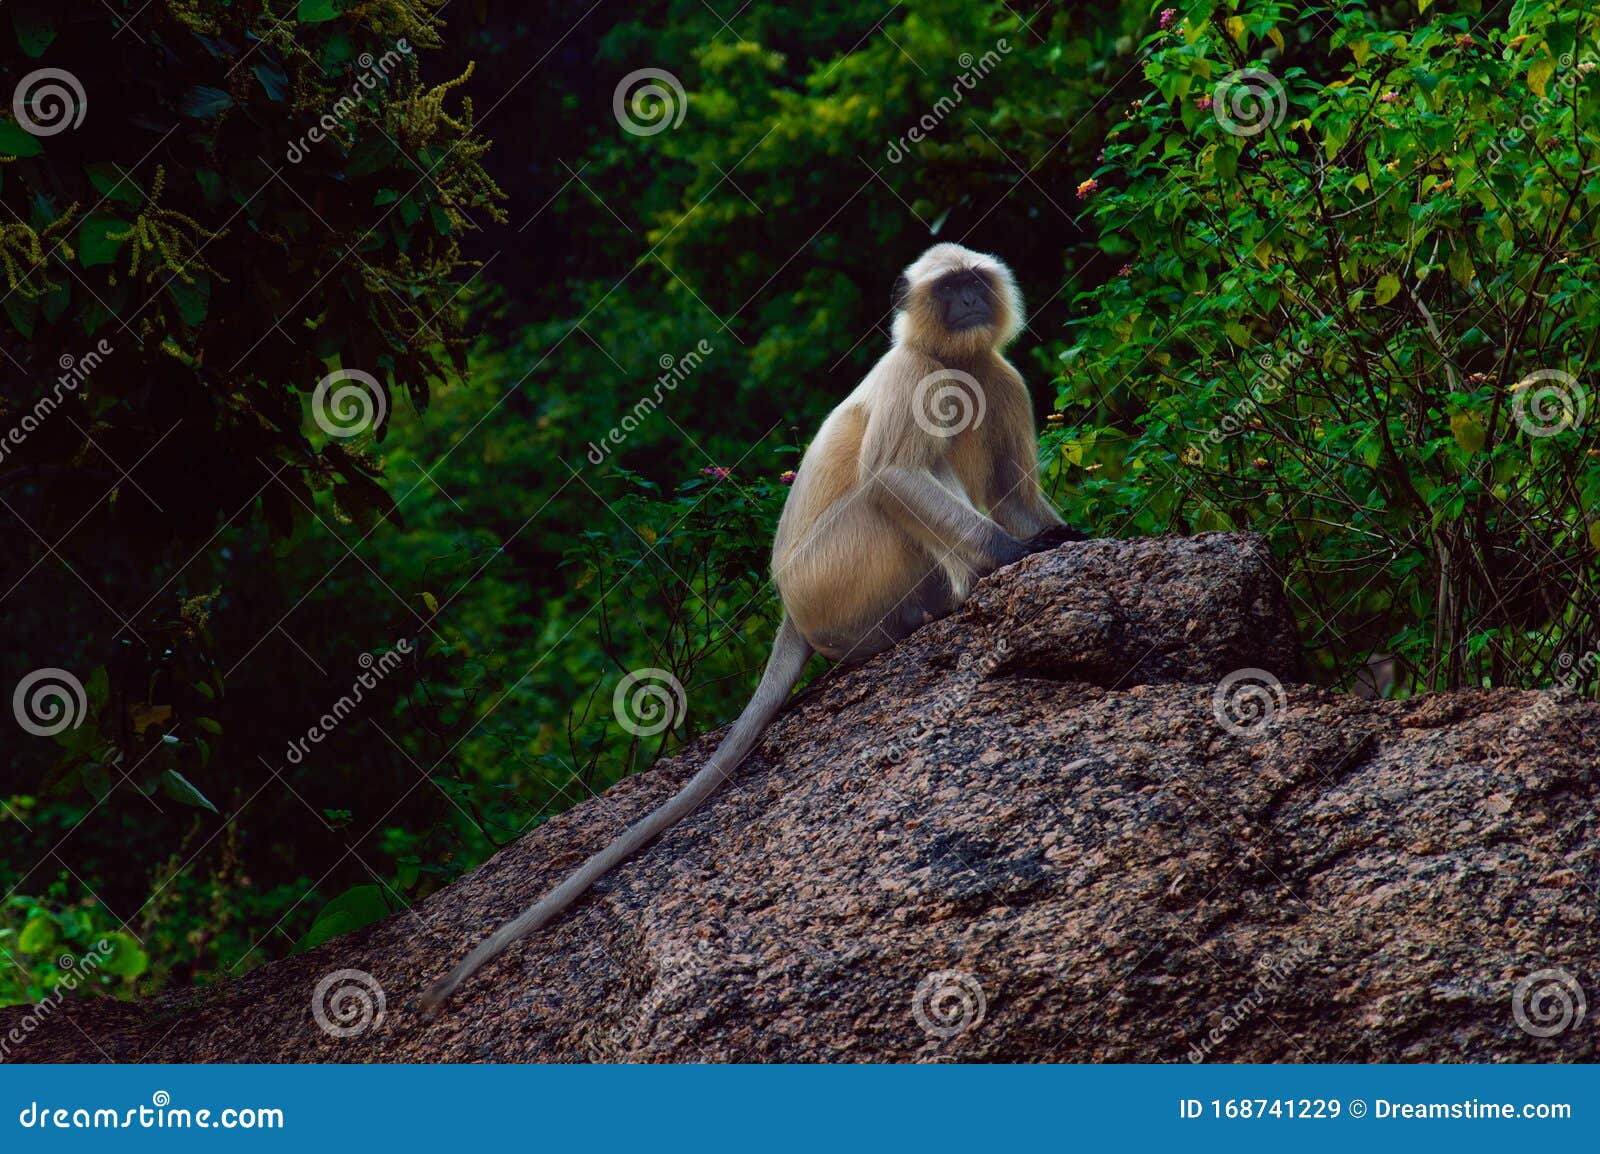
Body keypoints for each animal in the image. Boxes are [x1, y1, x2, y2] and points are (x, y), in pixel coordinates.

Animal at [420, 243, 1082, 1011]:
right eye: (951, 290)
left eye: (976, 282)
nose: (972, 303)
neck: (953, 357)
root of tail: (791, 608)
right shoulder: (915, 375)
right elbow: (897, 476)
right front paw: (1014, 556)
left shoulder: (1000, 379)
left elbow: (1015, 491)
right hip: (838, 575)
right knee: (891, 483)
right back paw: (957, 592)